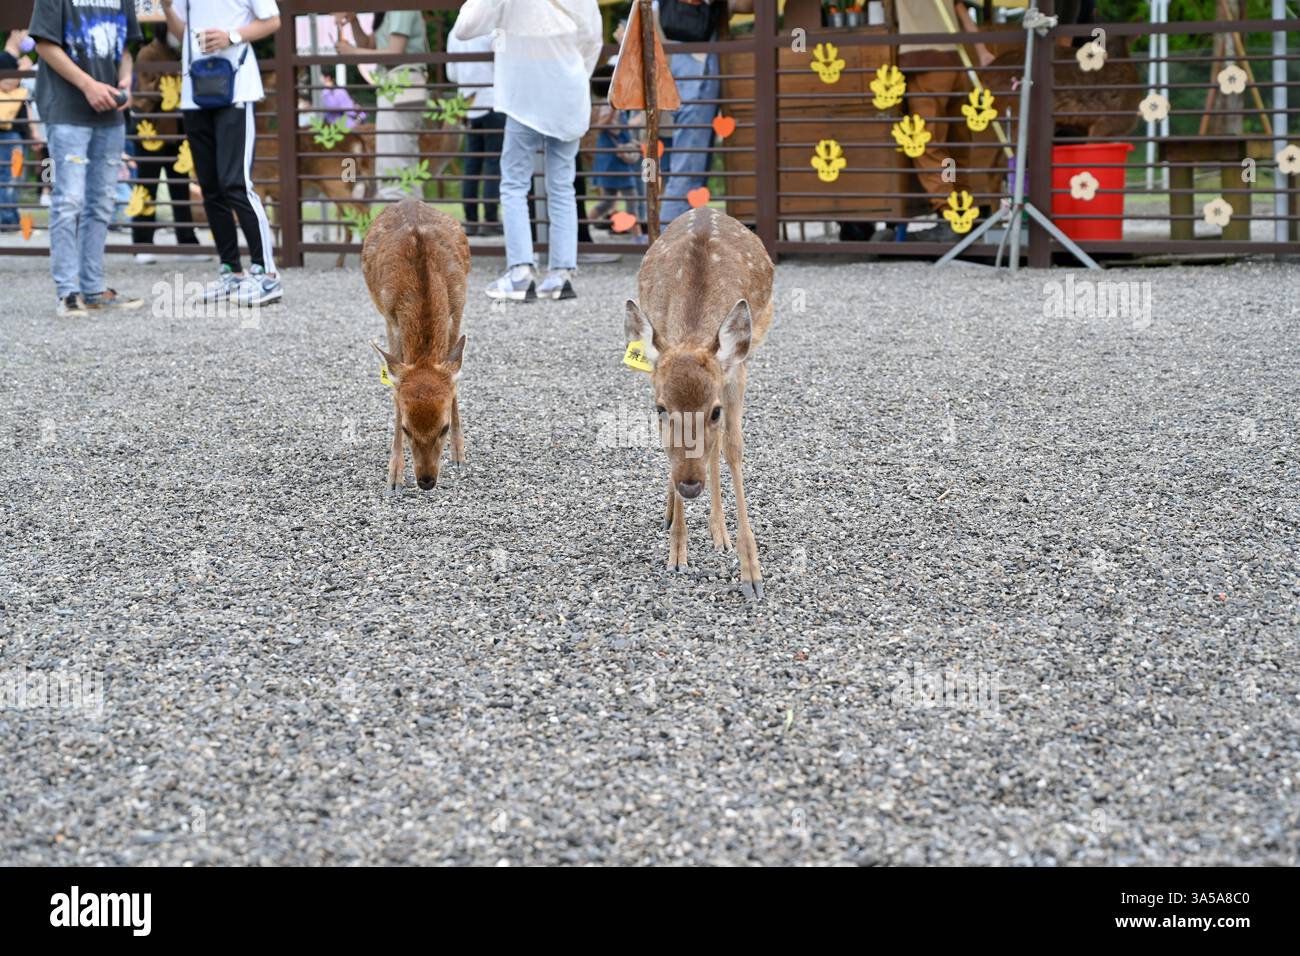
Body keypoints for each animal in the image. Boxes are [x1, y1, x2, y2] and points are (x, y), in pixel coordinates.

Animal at [363, 198, 470, 493]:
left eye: (444, 427)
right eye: (406, 428)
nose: (426, 481)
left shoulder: (458, 308)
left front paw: (459, 455)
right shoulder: (390, 318)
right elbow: (394, 391)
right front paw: (394, 477)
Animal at [624, 206, 775, 600]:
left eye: (714, 410)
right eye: (661, 409)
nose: (690, 485)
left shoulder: (735, 373)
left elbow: (733, 449)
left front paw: (751, 573)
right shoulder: (655, 373)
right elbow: (669, 449)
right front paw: (678, 554)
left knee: (718, 446)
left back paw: (719, 532)